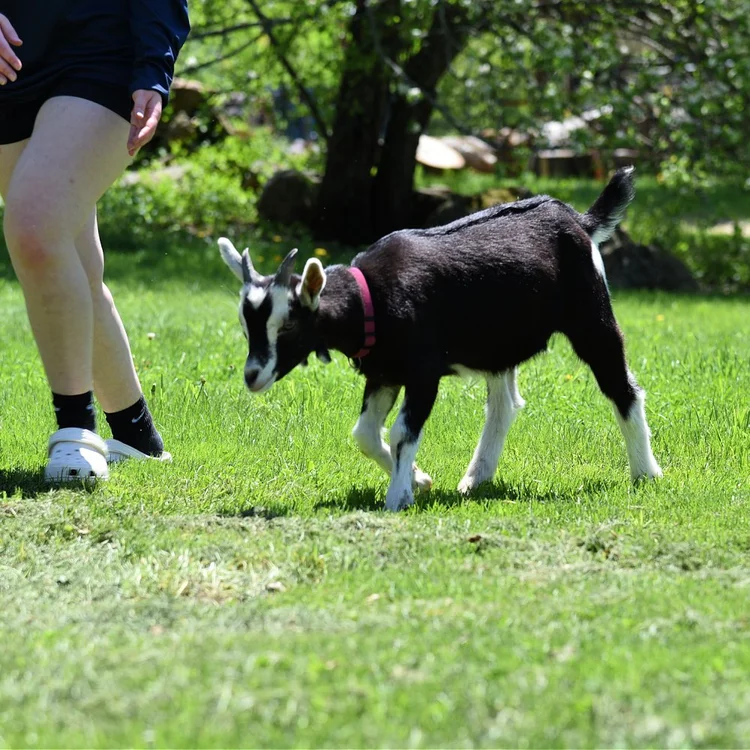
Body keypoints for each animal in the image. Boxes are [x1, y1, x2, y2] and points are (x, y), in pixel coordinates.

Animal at [218, 167, 662, 511]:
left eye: (287, 326)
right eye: (245, 327)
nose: (252, 375)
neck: (372, 296)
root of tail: (579, 221)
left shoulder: (423, 371)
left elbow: (401, 431)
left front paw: (398, 496)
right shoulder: (383, 372)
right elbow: (365, 434)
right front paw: (419, 479)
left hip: (592, 317)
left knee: (622, 388)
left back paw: (645, 473)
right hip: (497, 343)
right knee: (504, 405)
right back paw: (475, 479)